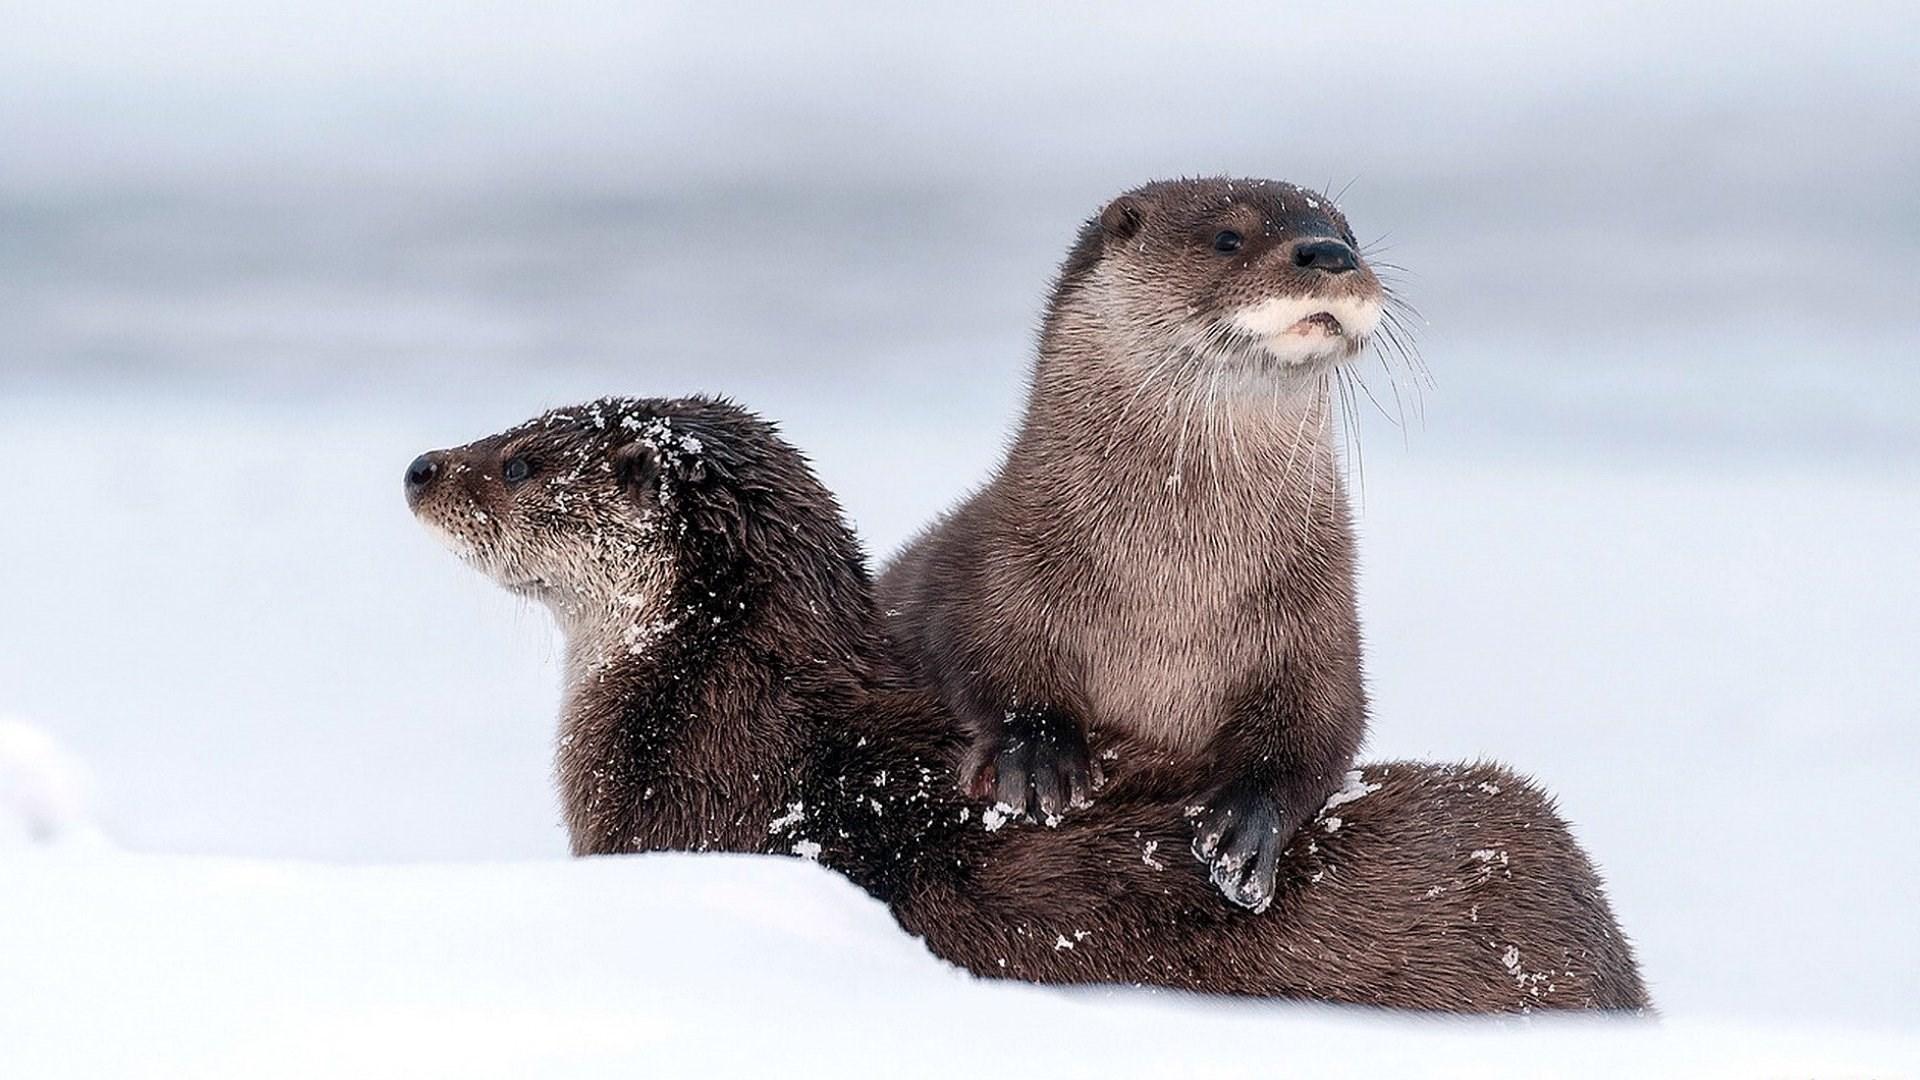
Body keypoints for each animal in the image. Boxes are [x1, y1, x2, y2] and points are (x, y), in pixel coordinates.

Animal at [881, 177, 1399, 912]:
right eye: (1228, 237)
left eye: (1348, 234)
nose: (1328, 254)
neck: (1175, 585)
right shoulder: (991, 569)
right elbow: (974, 648)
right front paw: (1036, 756)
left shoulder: (1317, 622)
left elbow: (1325, 725)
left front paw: (1247, 824)